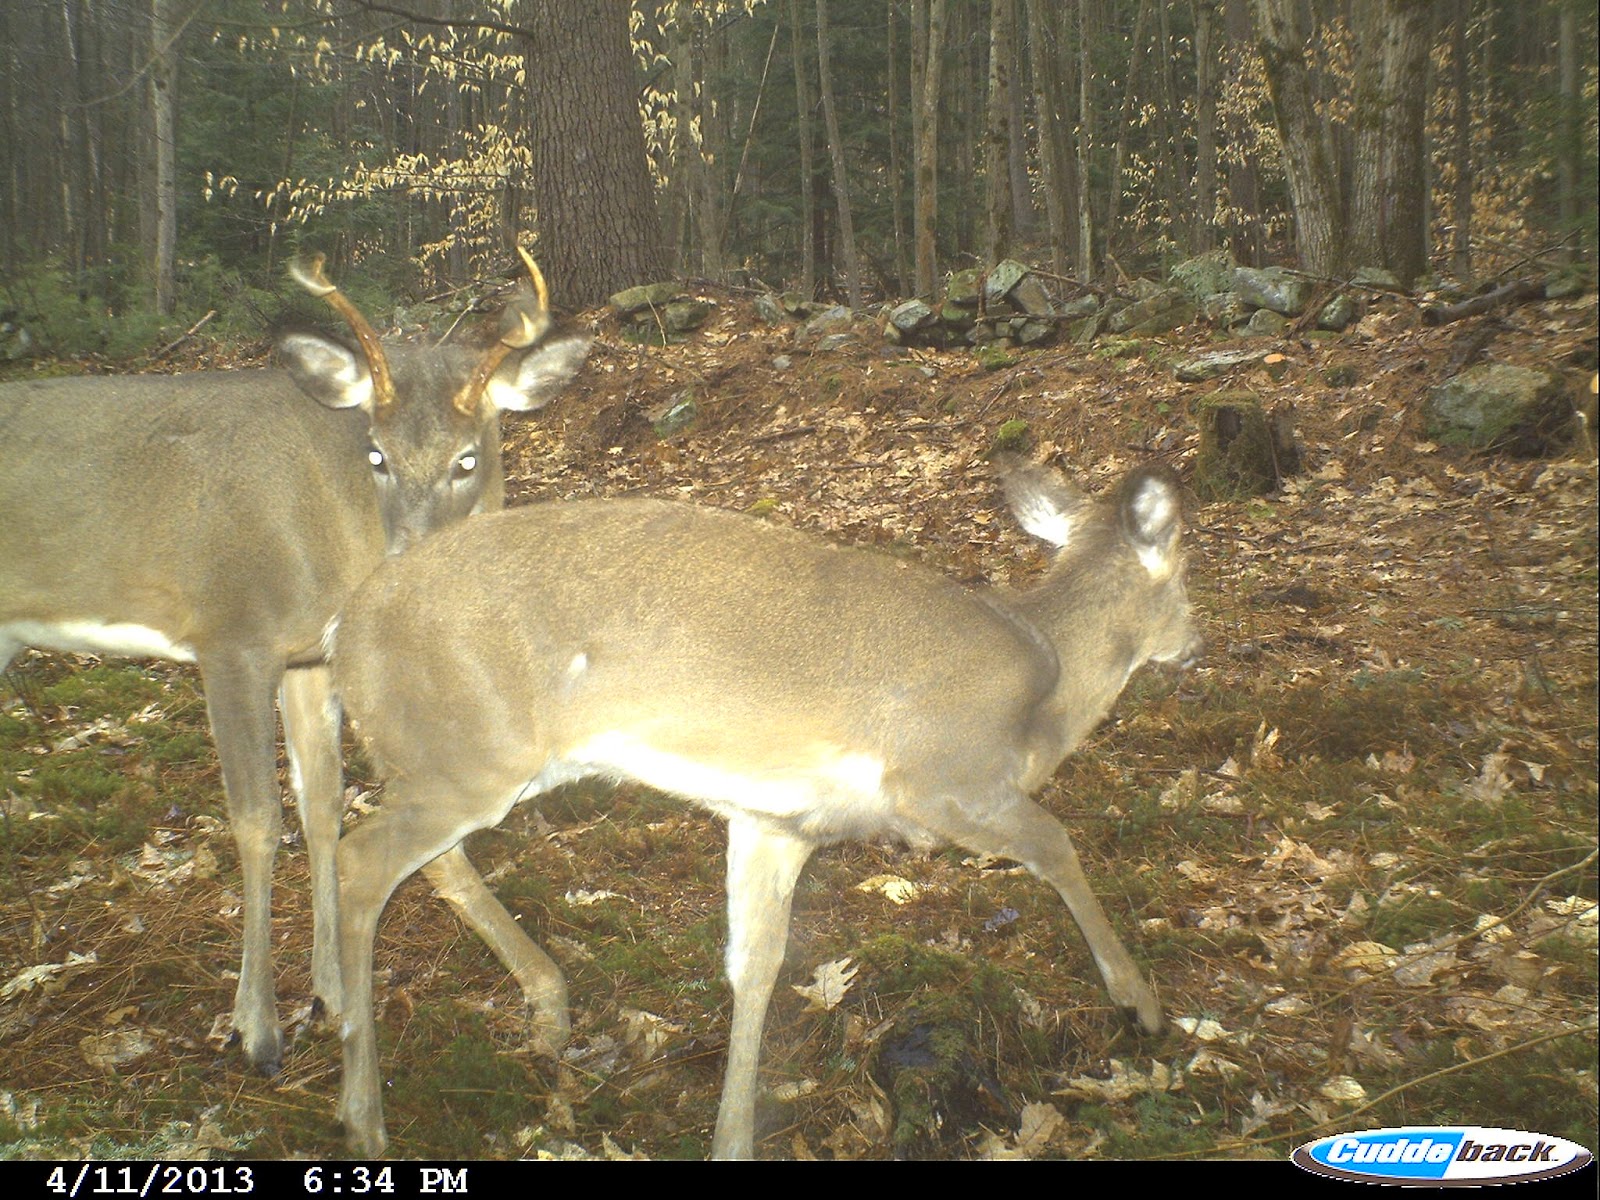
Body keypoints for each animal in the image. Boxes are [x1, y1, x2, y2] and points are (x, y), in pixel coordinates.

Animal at [0, 253, 590, 1074]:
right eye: (375, 454)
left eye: (466, 459)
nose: (409, 562)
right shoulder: (232, 632)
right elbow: (256, 819)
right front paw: (256, 1027)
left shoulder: (307, 657)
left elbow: (323, 807)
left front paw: (330, 994)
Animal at [327, 460, 1201, 1158]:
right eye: (1186, 574)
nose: (1198, 643)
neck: (1045, 687)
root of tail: (345, 634)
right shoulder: (945, 773)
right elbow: (1056, 843)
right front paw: (1142, 1002)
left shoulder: (774, 822)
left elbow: (755, 966)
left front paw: (732, 1138)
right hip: (474, 749)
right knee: (361, 856)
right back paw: (363, 1115)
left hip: (466, 759)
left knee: (420, 856)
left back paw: (541, 1011)